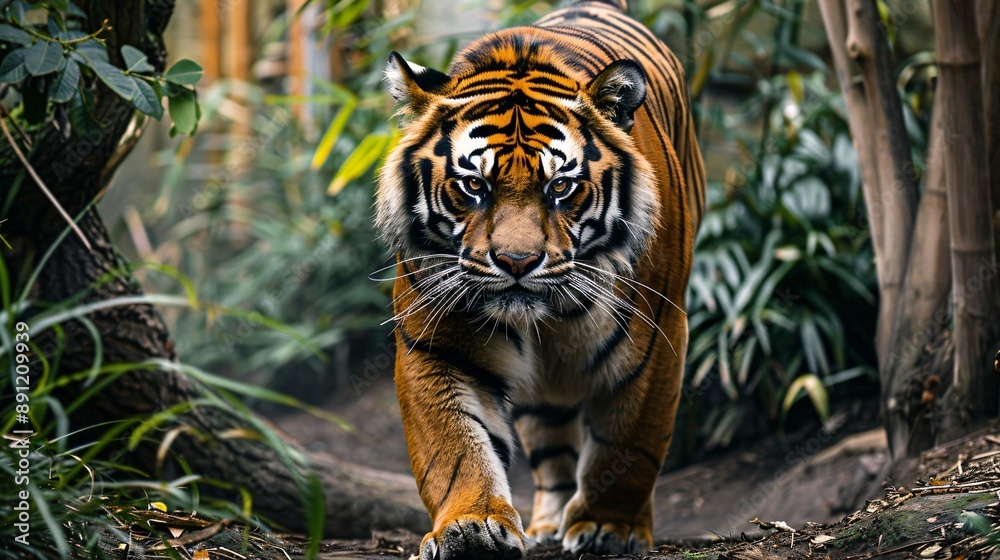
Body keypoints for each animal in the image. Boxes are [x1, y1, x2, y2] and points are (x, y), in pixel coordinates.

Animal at [374, 0, 705, 557]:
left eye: (561, 186)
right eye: (473, 185)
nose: (516, 261)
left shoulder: (658, 335)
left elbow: (630, 443)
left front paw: (607, 526)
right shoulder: (435, 341)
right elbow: (454, 445)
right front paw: (471, 526)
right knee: (551, 448)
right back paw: (548, 523)